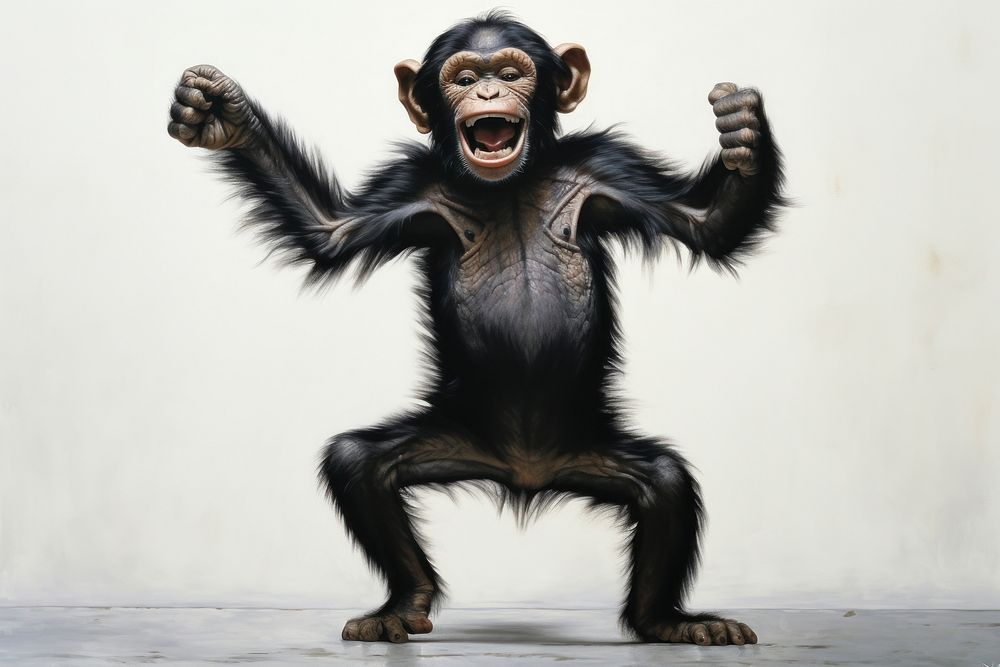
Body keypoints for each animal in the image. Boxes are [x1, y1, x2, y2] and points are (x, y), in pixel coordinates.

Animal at [167, 10, 784, 645]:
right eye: (464, 79)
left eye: (510, 73)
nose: (486, 93)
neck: (508, 184)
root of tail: (528, 471)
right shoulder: (410, 185)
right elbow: (328, 230)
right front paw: (225, 116)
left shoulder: (608, 168)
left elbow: (706, 224)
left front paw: (741, 127)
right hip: (460, 439)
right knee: (359, 465)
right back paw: (402, 604)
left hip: (587, 451)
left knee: (664, 485)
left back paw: (668, 621)